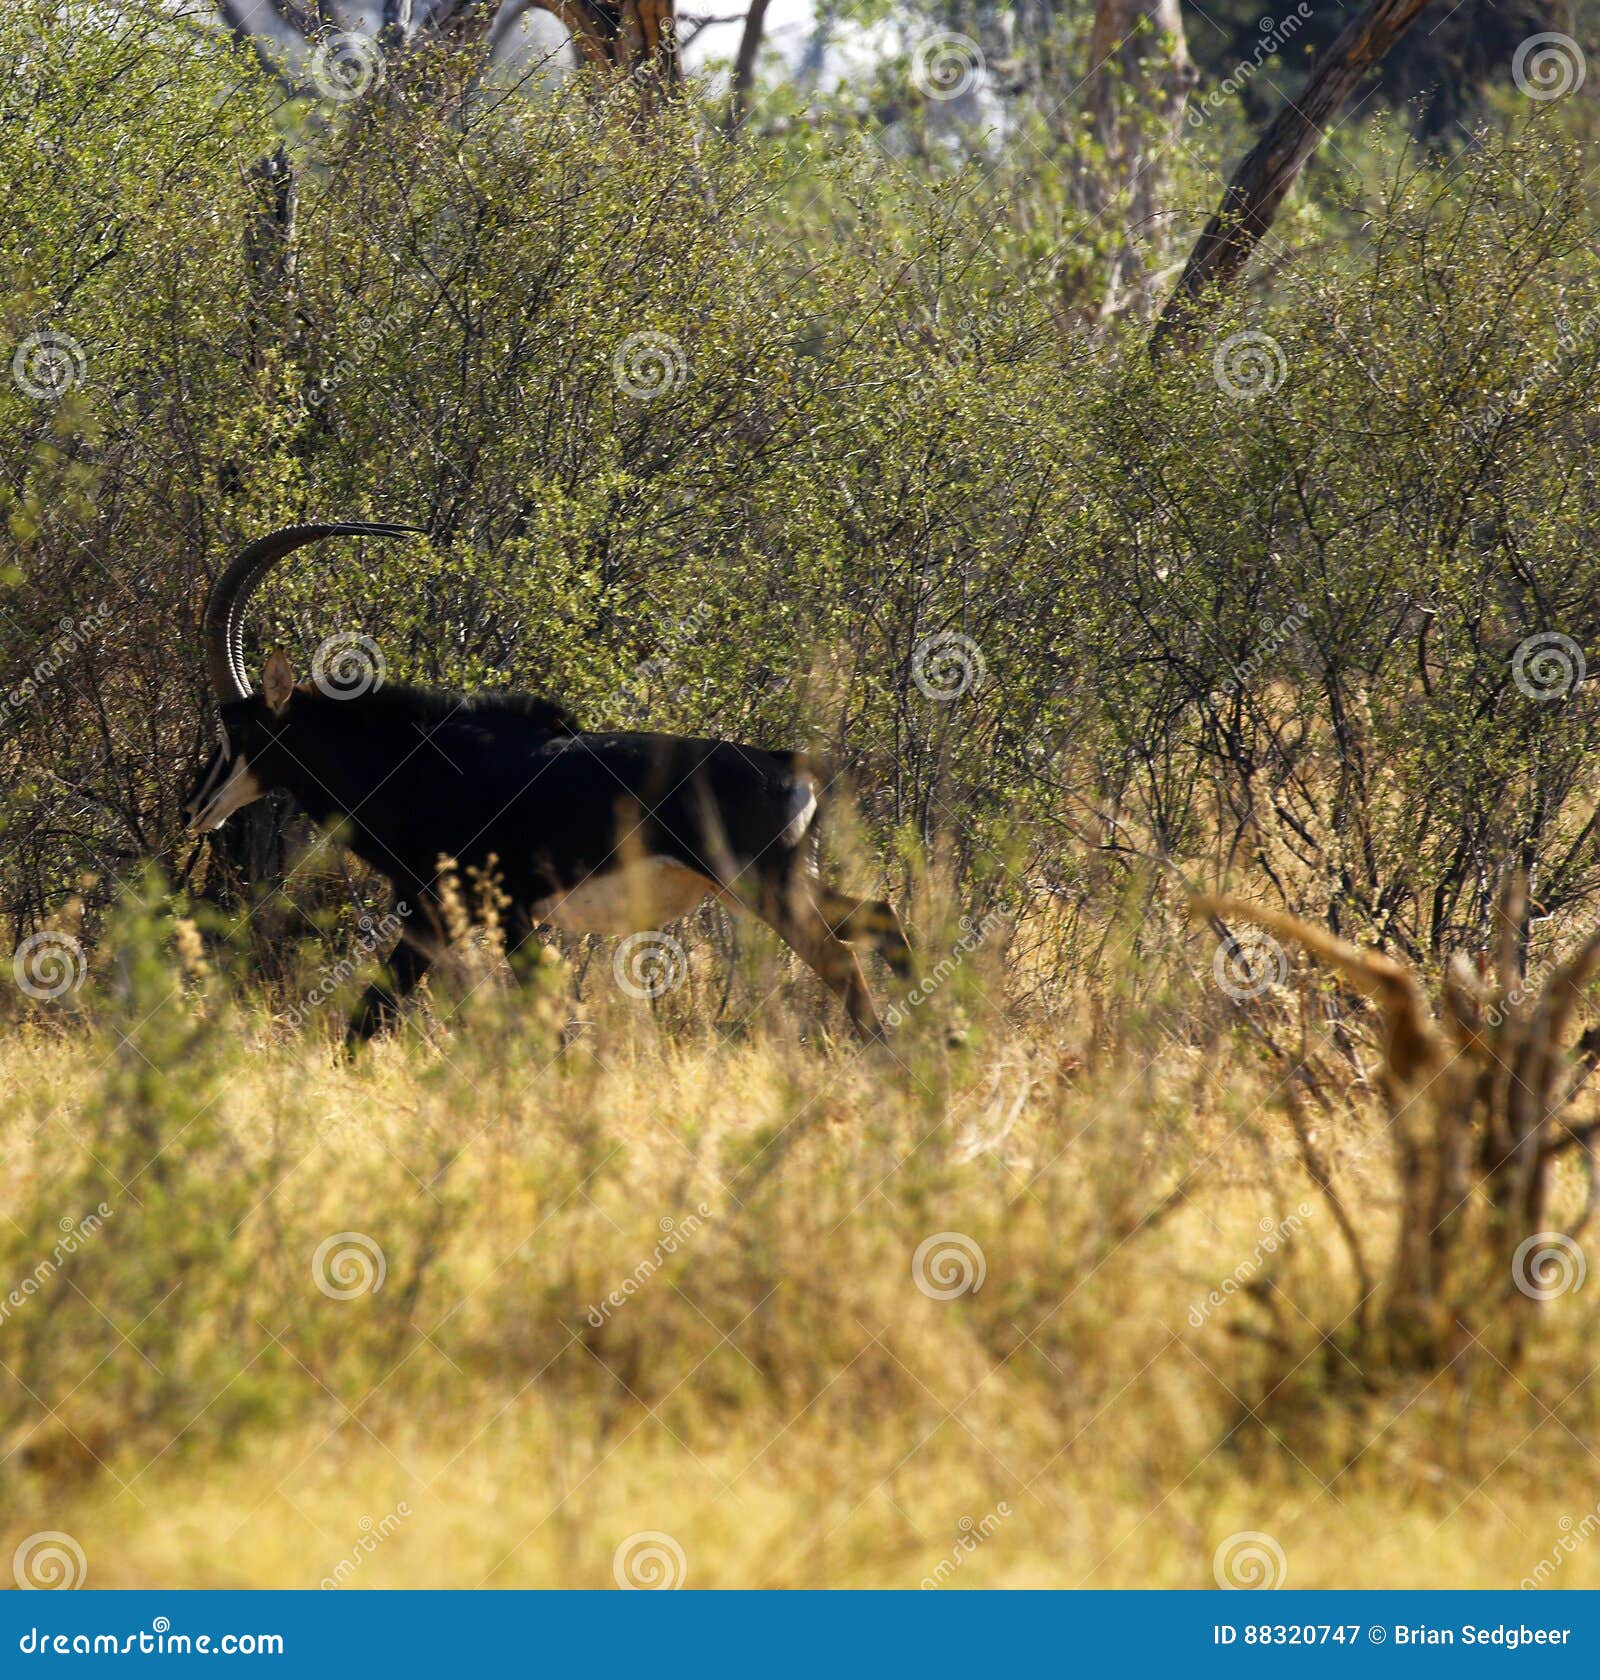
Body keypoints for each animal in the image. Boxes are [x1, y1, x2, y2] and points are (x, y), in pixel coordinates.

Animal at [185, 523, 911, 1044]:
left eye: (235, 731)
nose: (196, 805)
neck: (409, 758)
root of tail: (789, 763)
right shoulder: (438, 917)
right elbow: (374, 1016)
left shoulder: (477, 910)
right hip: (782, 883)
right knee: (880, 917)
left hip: (763, 888)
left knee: (843, 961)